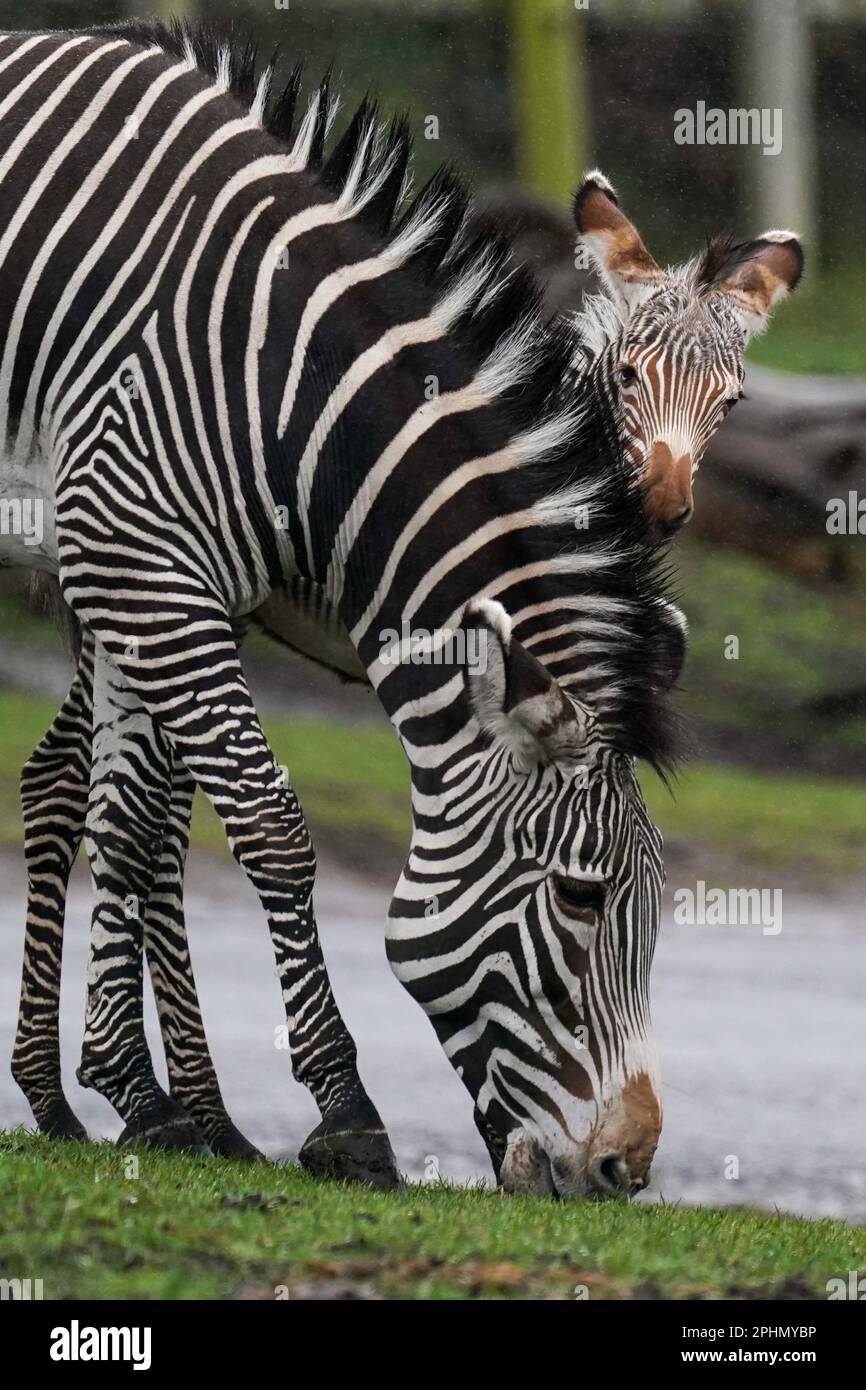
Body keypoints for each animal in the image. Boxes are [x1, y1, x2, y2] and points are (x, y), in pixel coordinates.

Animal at [0, 21, 773, 1195]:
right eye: (582, 897)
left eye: (730, 400)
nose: (623, 1173)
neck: (281, 376)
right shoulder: (141, 560)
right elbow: (263, 825)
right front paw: (337, 1113)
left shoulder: (151, 575)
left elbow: (130, 827)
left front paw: (145, 1095)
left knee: (74, 788)